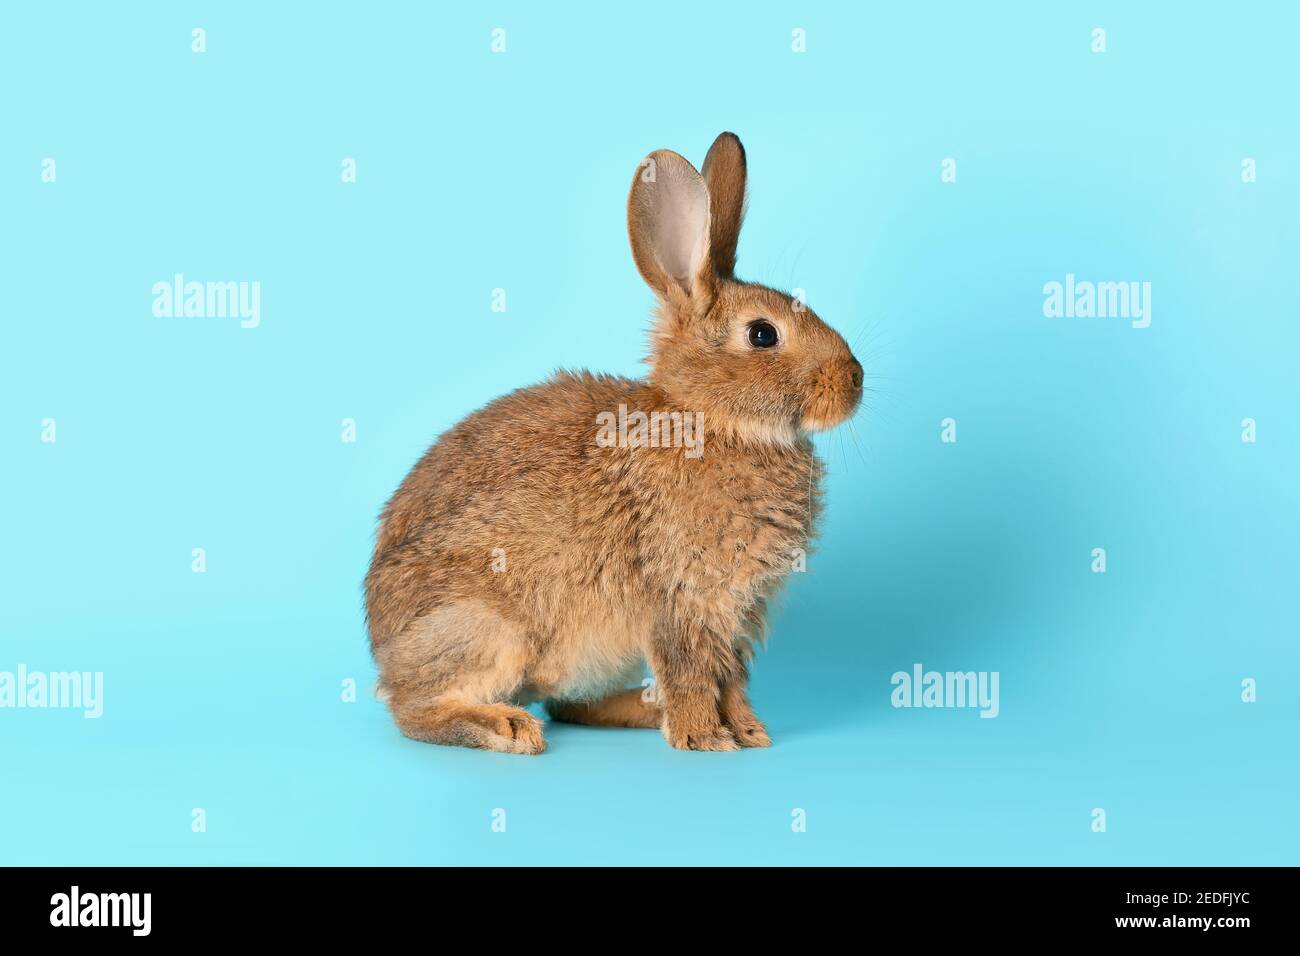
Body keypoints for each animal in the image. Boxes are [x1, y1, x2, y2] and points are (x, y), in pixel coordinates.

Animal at [365, 133, 863, 754]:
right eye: (763, 334)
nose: (855, 380)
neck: (707, 418)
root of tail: (383, 656)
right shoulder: (682, 599)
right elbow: (692, 674)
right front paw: (705, 739)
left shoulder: (739, 614)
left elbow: (732, 681)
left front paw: (749, 732)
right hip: (486, 628)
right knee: (416, 711)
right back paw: (507, 727)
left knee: (568, 706)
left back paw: (643, 710)